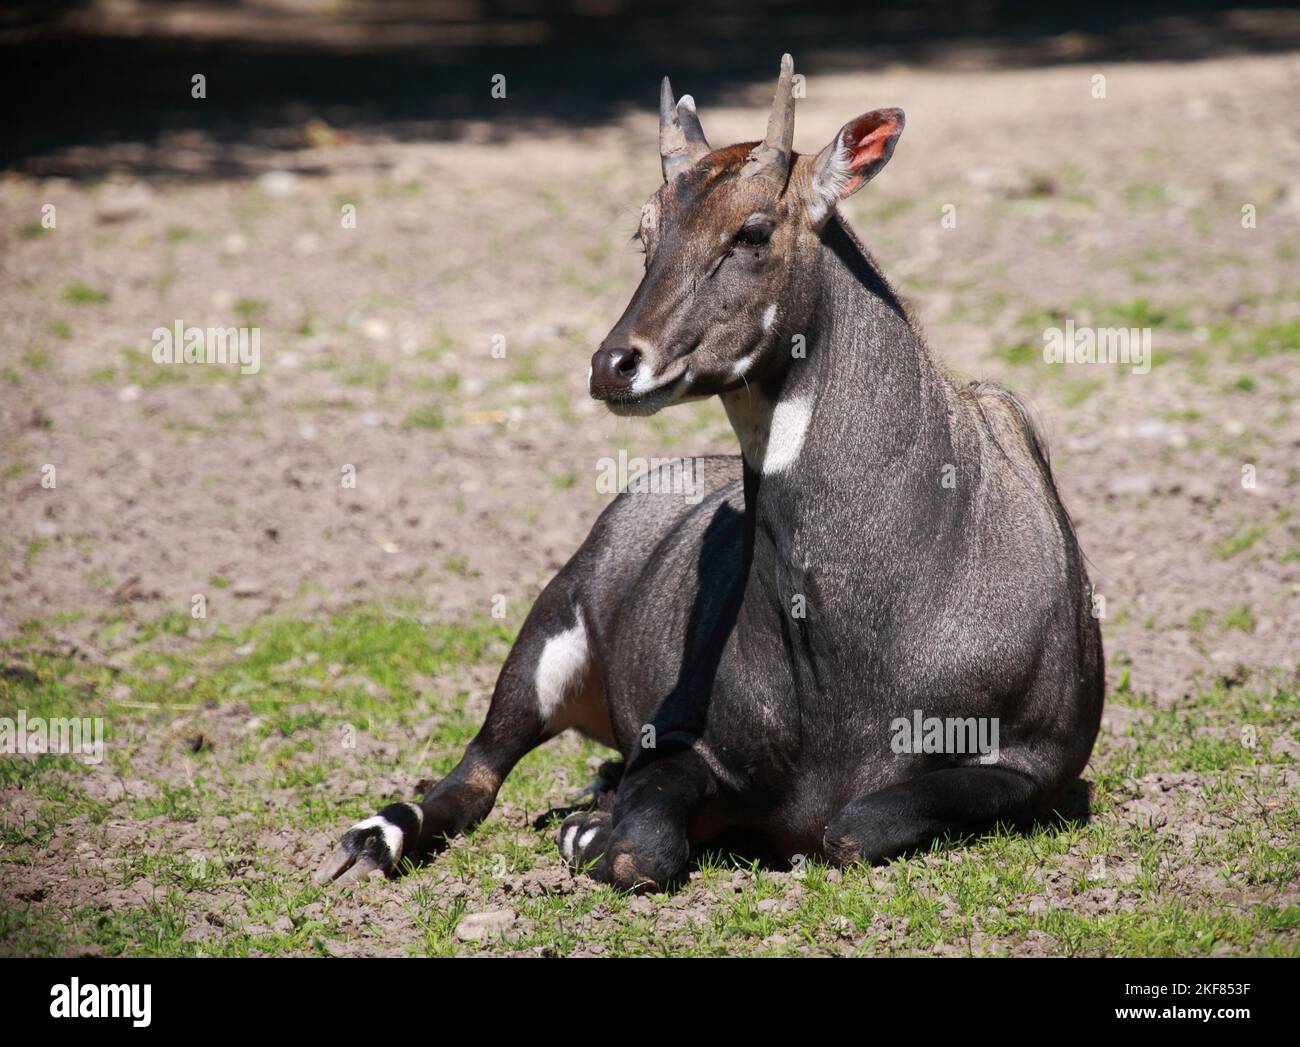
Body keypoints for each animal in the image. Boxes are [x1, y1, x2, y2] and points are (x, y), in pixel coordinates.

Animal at [317, 55, 1104, 891]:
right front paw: (589, 831)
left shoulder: (1037, 765)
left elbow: (854, 825)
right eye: (646, 232)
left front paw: (590, 821)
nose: (614, 365)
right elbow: (644, 843)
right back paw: (375, 837)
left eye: (753, 229)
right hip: (543, 643)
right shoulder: (684, 742)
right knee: (475, 775)